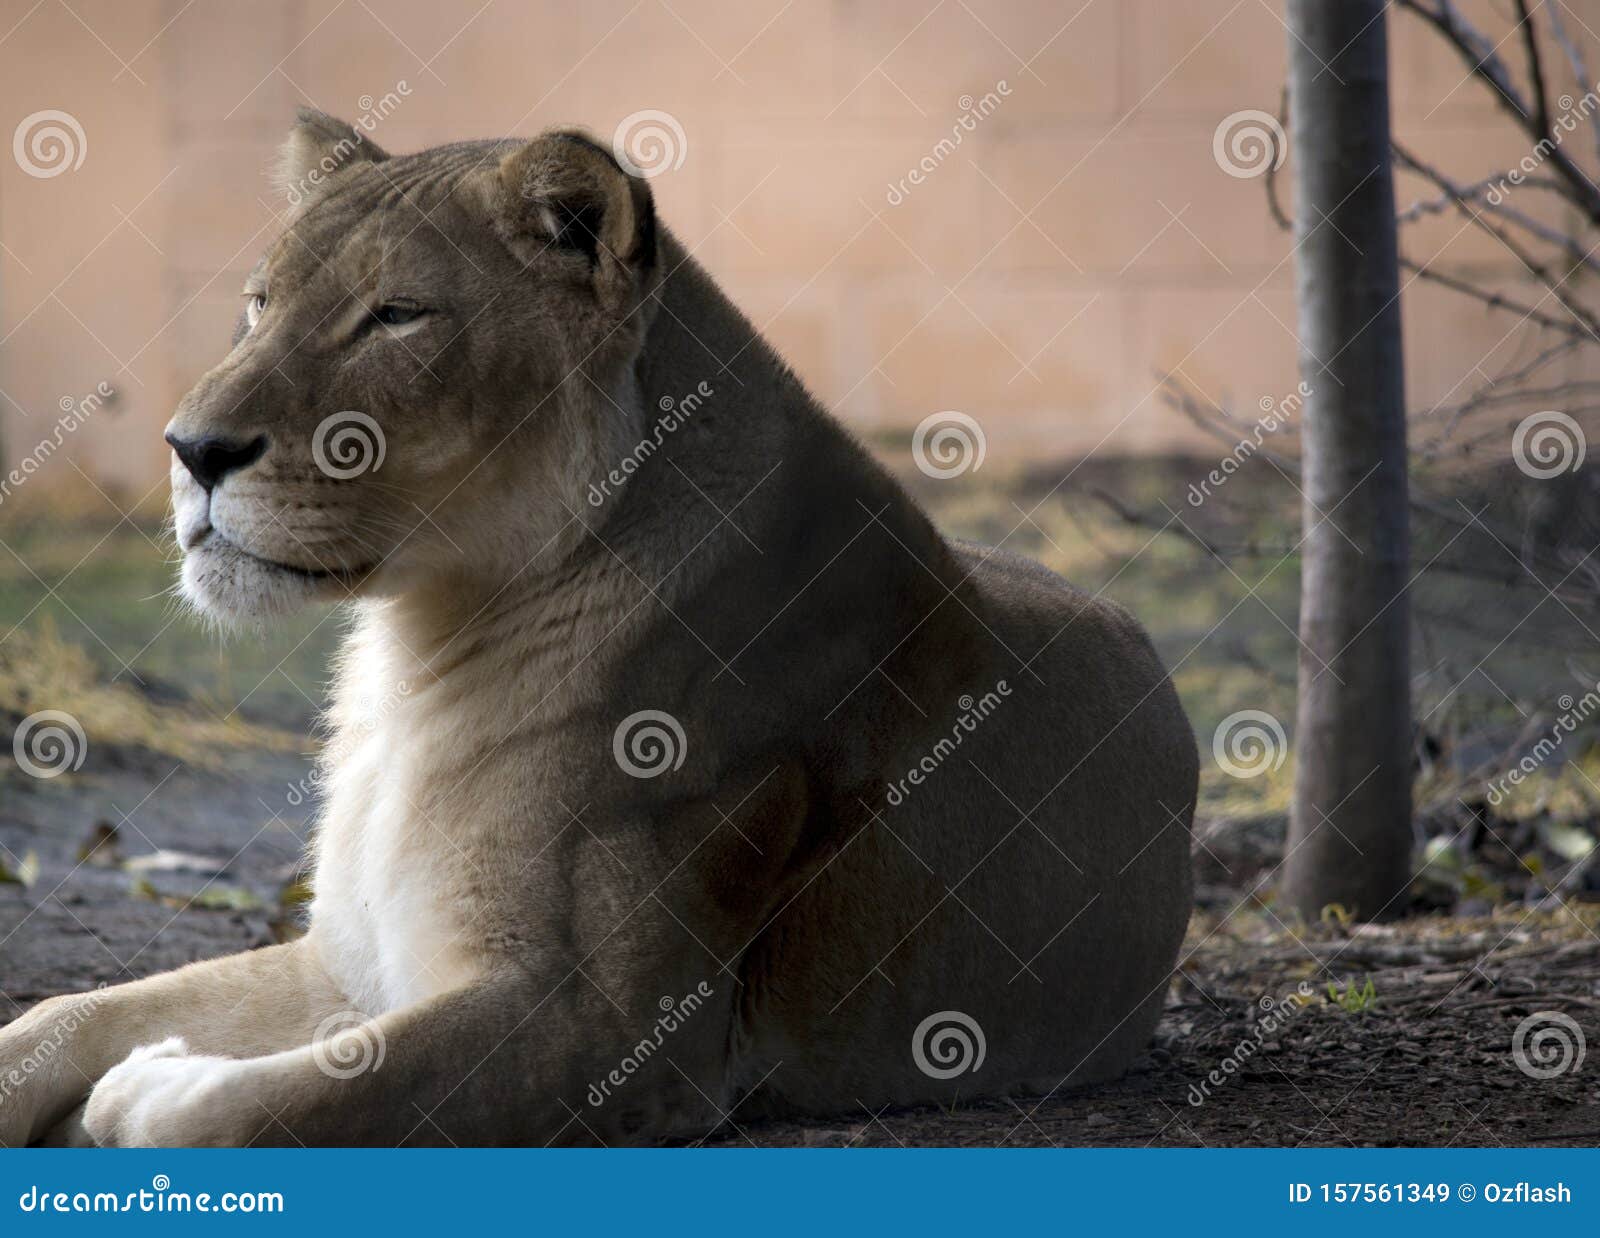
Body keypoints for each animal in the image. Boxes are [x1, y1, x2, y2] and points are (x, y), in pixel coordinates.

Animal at [0, 111, 1196, 1147]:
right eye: (256, 303)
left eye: (396, 315)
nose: (190, 448)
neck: (421, 640)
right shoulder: (349, 958)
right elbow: (72, 1009)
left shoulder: (611, 1029)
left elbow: (281, 1101)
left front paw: (146, 1087)